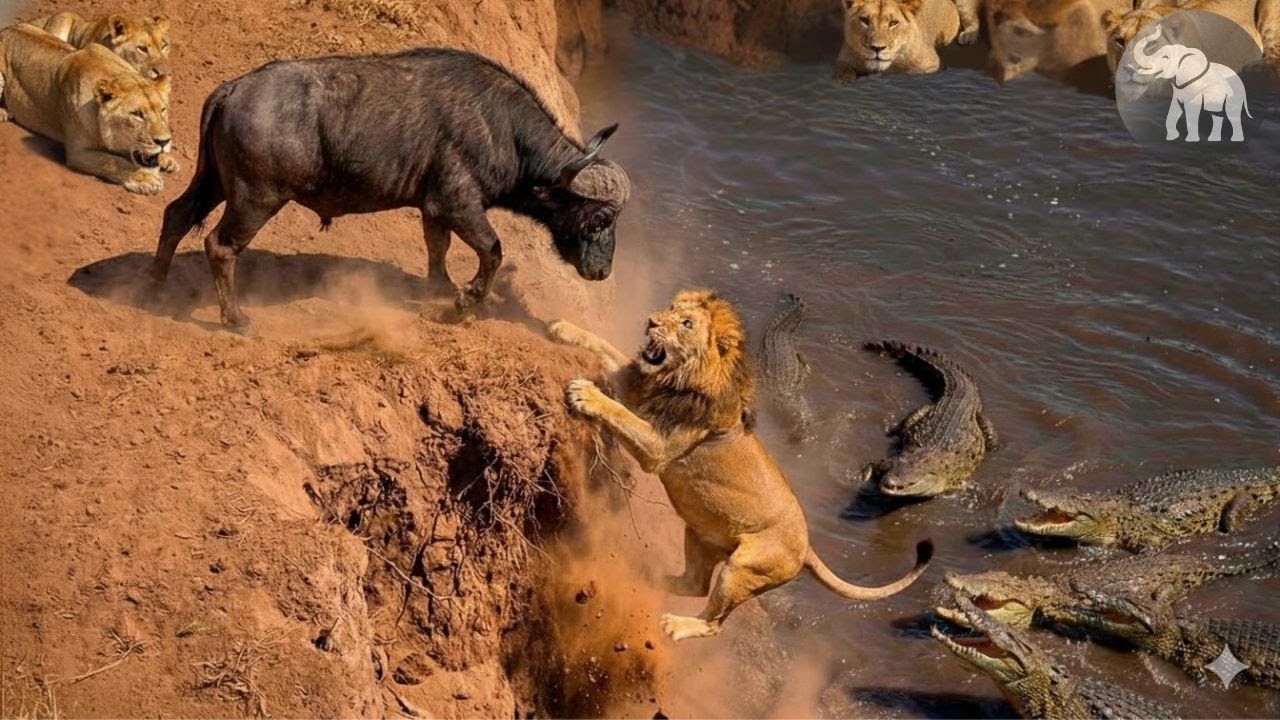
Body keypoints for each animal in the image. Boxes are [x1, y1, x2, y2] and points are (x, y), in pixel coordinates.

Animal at [0, 24, 177, 195]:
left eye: (163, 110)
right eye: (137, 114)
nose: (164, 141)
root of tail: (6, 28)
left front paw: (167, 160)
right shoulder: (77, 152)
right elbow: (111, 161)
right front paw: (144, 178)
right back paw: (4, 112)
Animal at [548, 290, 933, 641]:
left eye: (686, 324)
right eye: (672, 308)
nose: (652, 322)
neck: (677, 379)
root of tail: (806, 548)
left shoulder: (657, 448)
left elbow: (618, 412)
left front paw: (585, 394)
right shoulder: (638, 389)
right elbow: (605, 346)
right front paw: (562, 327)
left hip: (742, 569)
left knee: (714, 622)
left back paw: (677, 625)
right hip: (700, 534)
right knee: (695, 585)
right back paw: (648, 575)